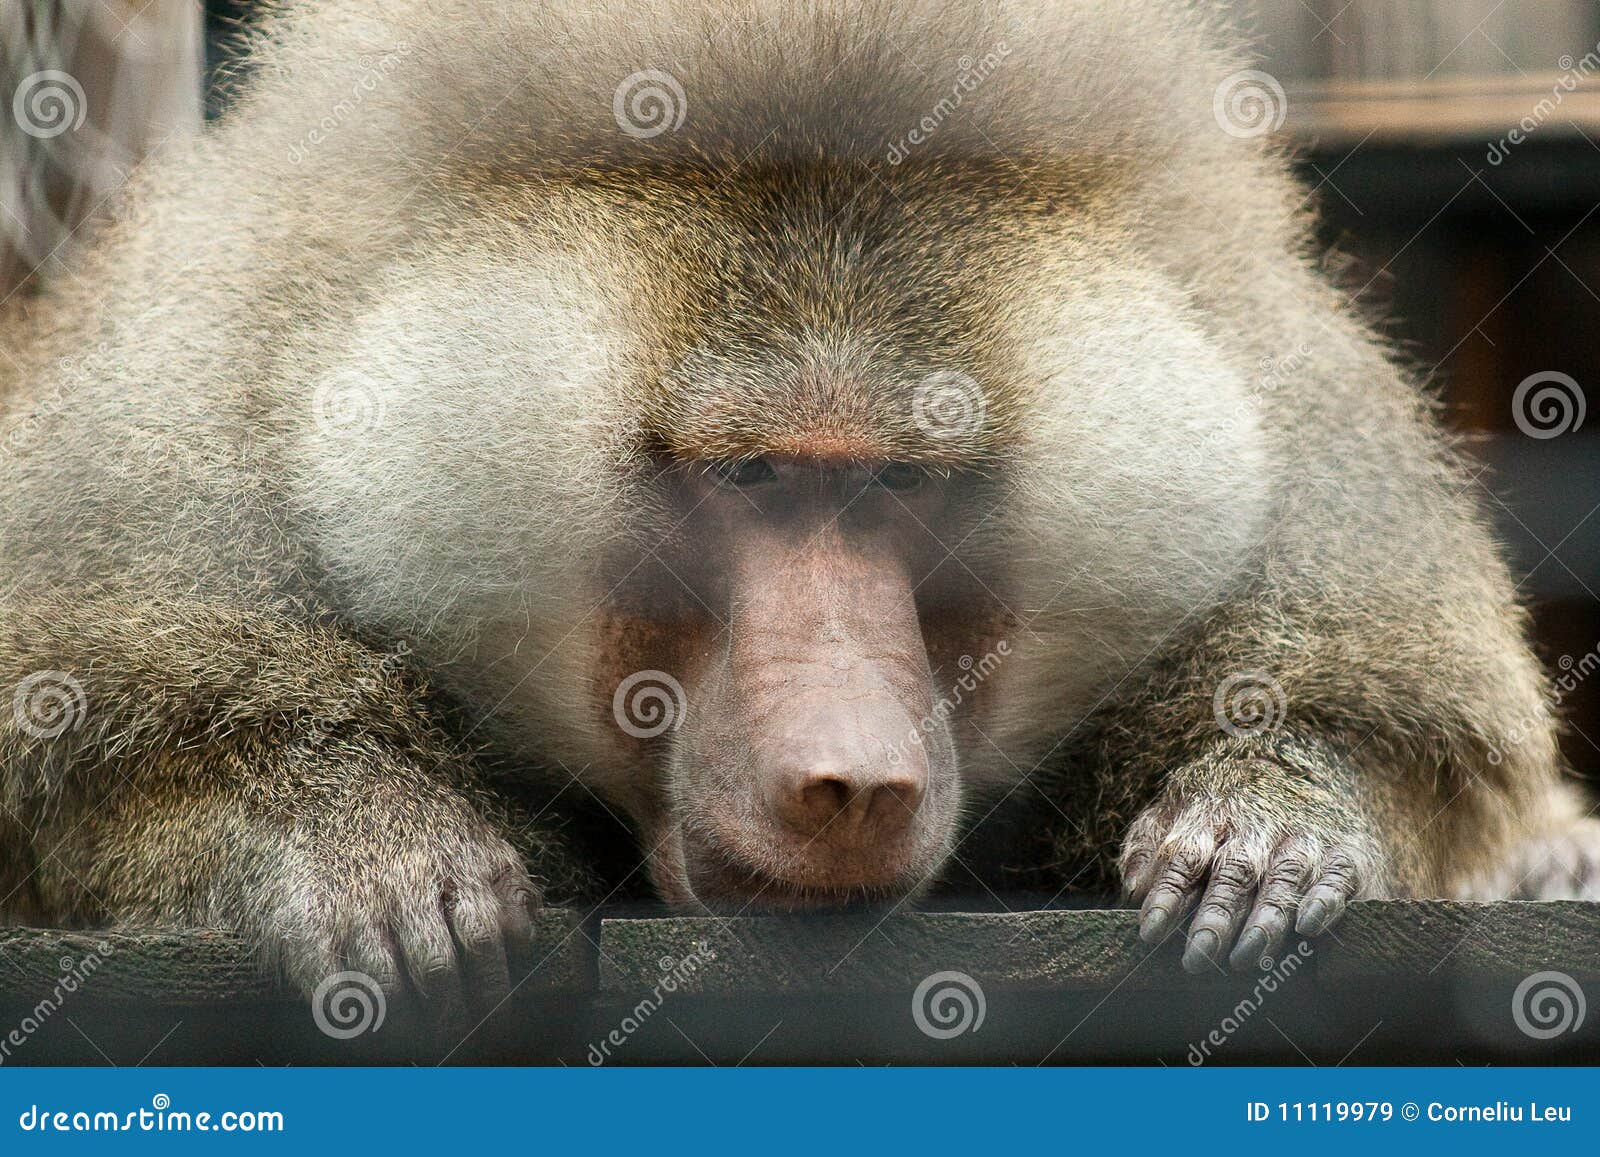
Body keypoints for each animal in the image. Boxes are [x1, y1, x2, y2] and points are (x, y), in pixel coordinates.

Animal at [1, 0, 1596, 1005]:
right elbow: (103, 760)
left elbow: (1402, 728)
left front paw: (1270, 821)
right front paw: (365, 847)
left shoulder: (1267, 365)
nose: (851, 779)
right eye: (755, 476)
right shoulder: (216, 381)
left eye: (899, 481)